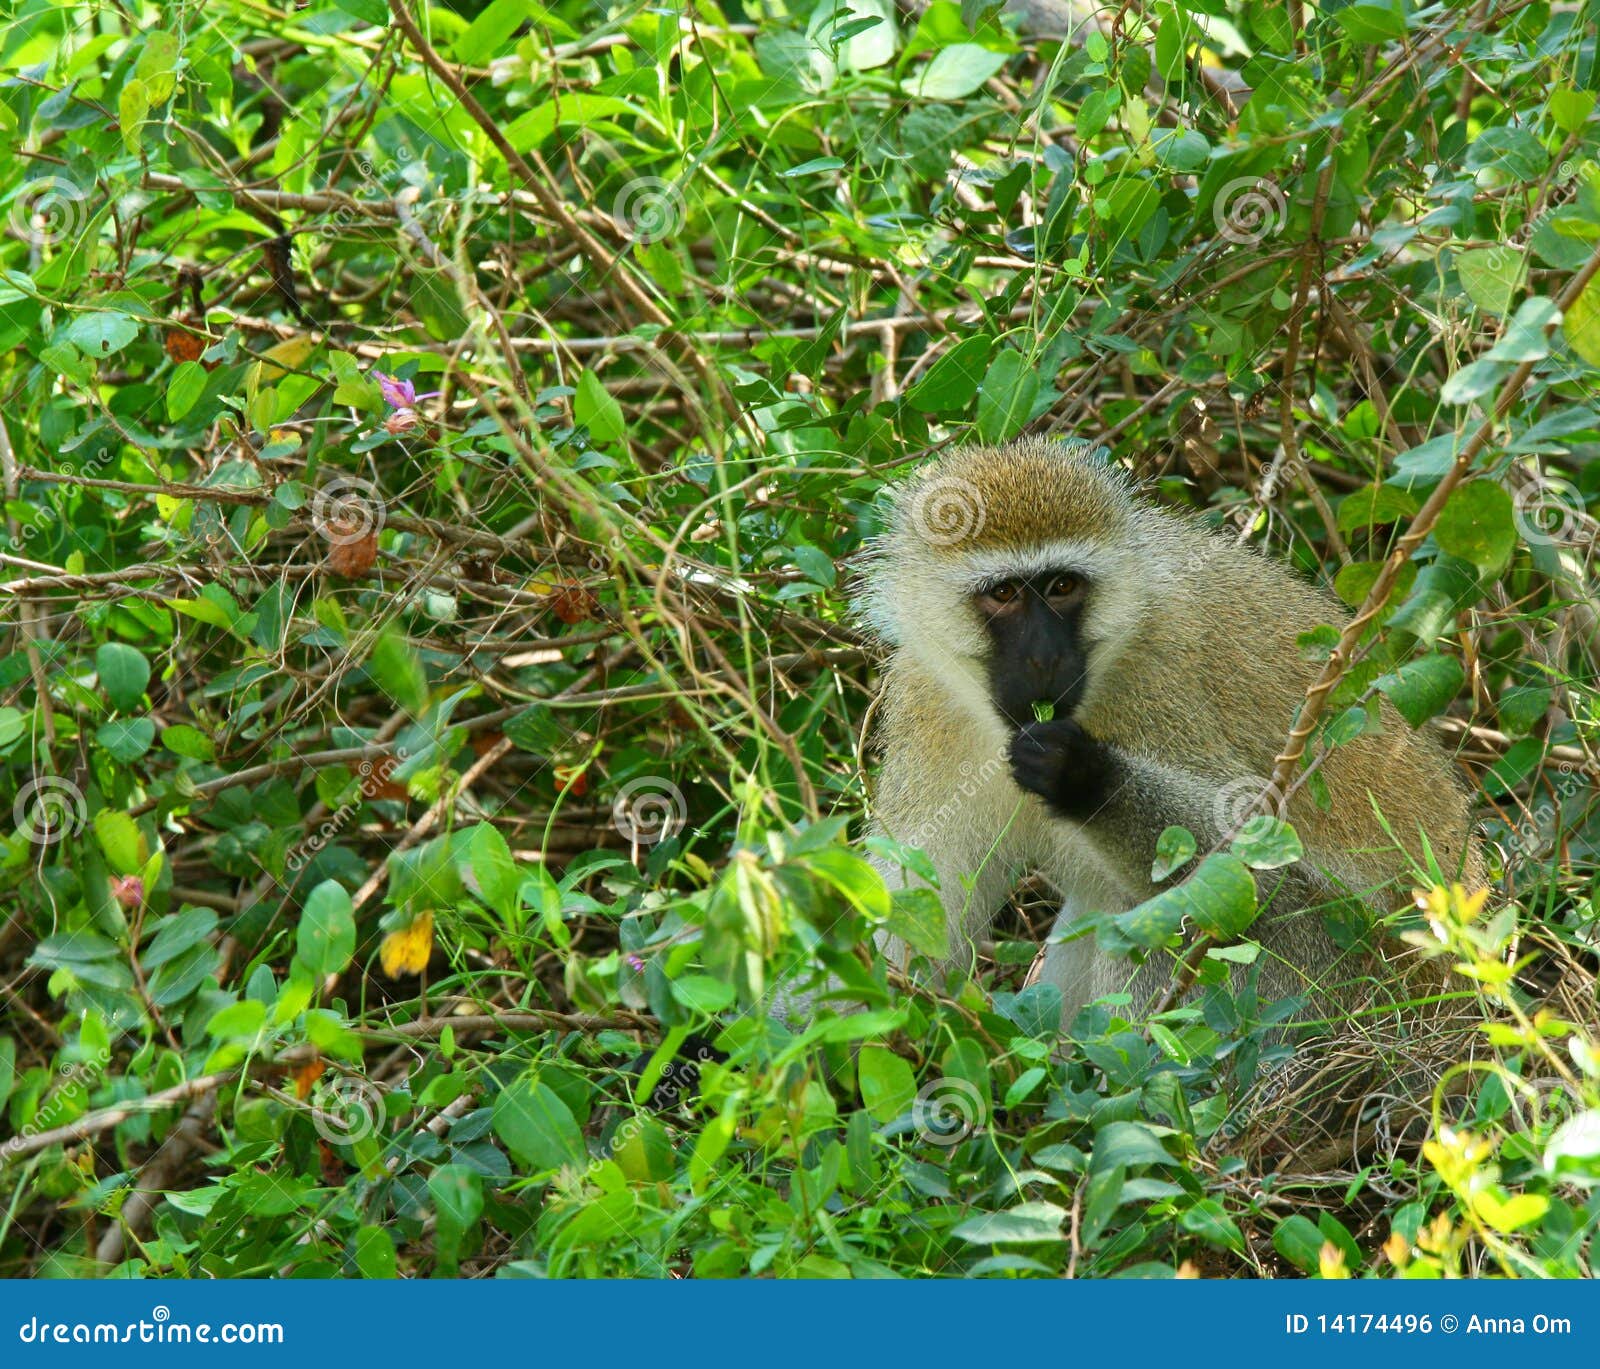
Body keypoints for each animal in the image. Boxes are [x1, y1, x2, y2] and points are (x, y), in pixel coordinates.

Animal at [854, 438, 1485, 1036]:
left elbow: (1258, 870)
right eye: (1005, 593)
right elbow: (910, 921)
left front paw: (1080, 774)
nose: (1043, 659)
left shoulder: (1158, 681)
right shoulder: (926, 698)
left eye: (1061, 586)